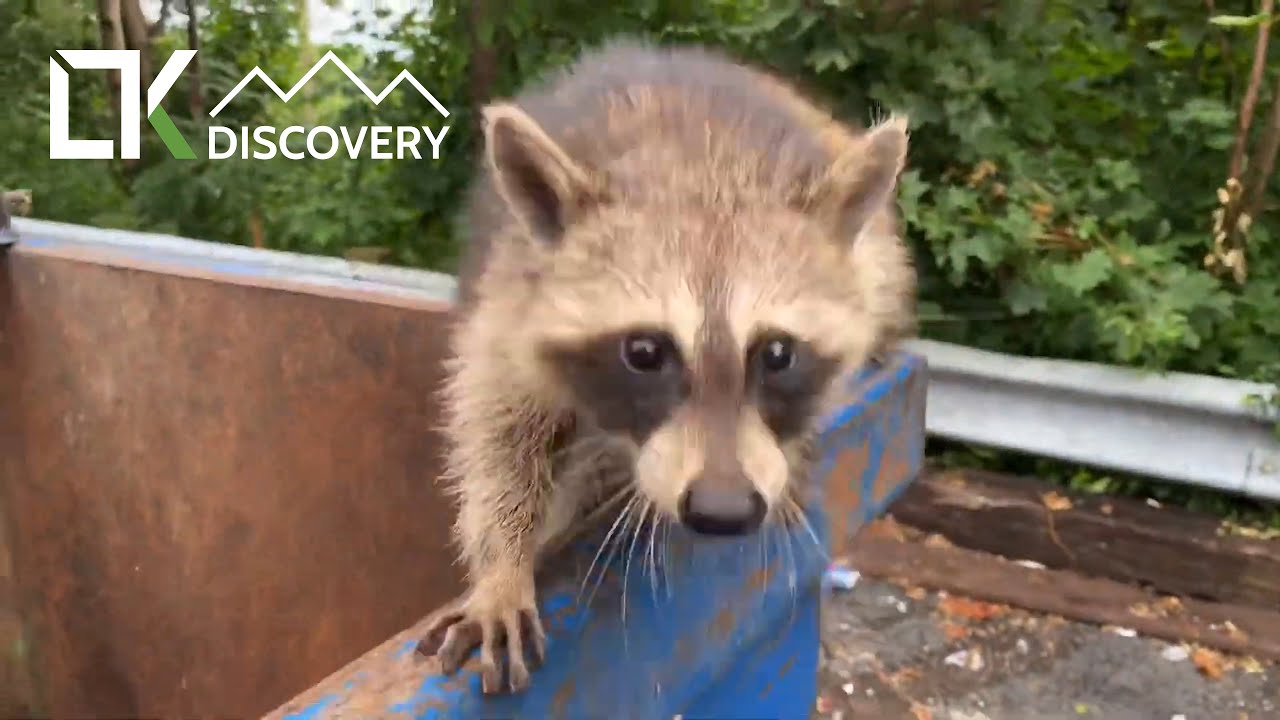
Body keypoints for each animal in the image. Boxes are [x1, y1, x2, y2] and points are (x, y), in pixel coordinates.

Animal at [415, 39, 916, 694]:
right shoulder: (509, 300)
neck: (701, 169)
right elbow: (497, 430)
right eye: (645, 353)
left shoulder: (861, 285)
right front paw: (502, 564)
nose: (723, 511)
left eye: (778, 354)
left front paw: (791, 452)